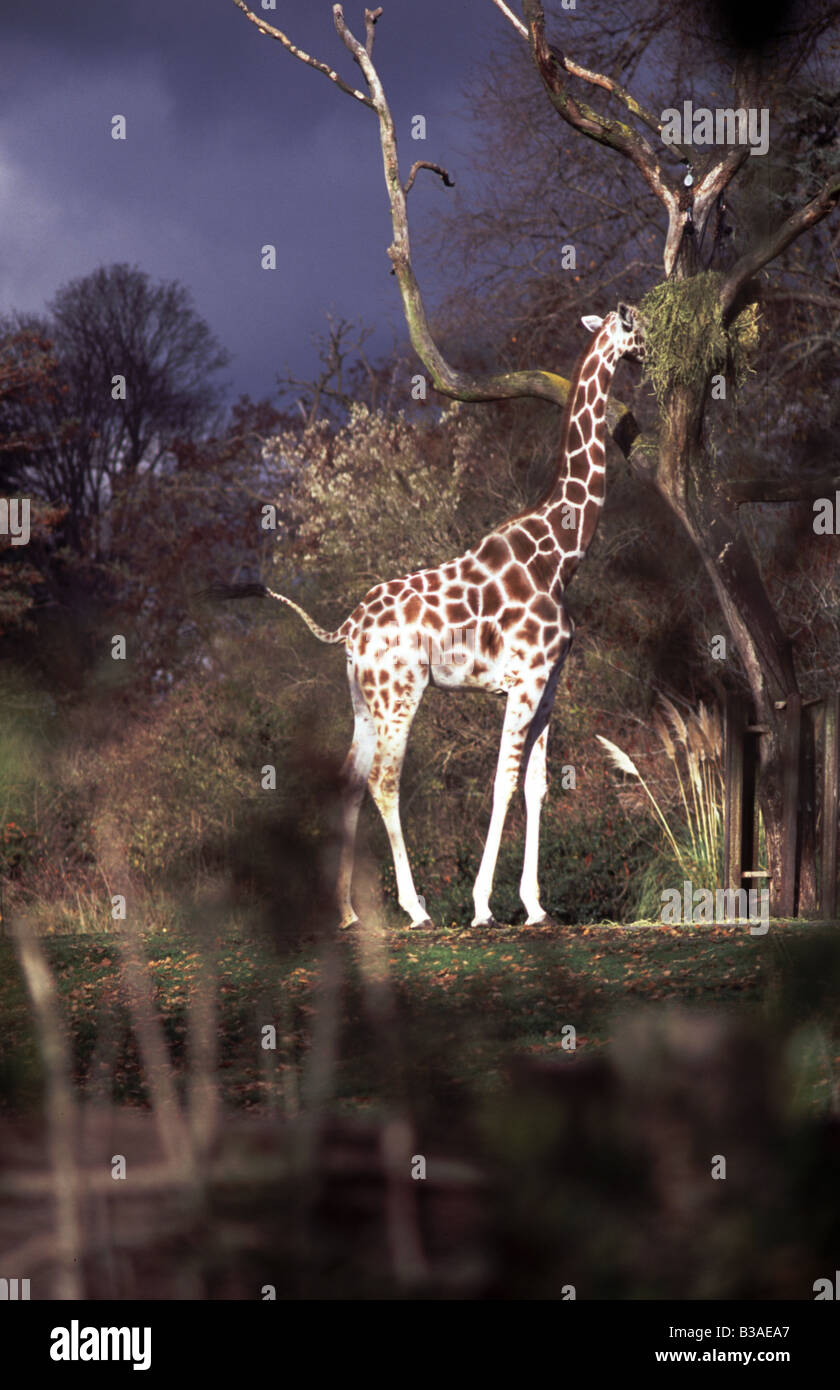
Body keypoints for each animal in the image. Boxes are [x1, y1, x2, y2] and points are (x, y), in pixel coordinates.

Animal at [214, 303, 645, 929]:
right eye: (638, 325)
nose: (653, 351)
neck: (561, 556)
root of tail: (346, 630)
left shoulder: (549, 682)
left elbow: (537, 785)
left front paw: (535, 906)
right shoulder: (525, 680)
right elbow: (504, 782)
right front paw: (484, 905)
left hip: (363, 698)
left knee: (350, 781)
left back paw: (348, 912)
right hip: (402, 691)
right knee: (383, 780)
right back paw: (415, 909)